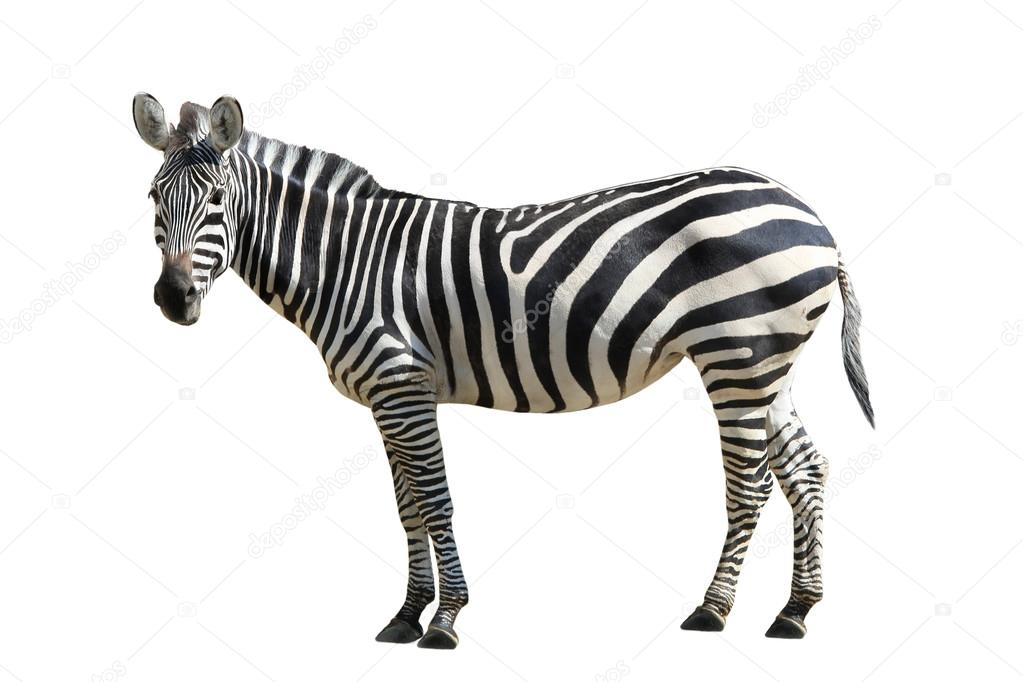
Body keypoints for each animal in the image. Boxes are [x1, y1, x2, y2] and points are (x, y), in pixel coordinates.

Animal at [133, 93, 873, 647]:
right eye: (151, 198)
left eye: (218, 200)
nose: (172, 299)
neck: (346, 260)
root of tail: (809, 212)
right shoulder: (389, 395)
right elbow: (406, 505)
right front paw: (406, 615)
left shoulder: (402, 383)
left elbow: (434, 498)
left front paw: (445, 619)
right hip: (769, 362)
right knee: (805, 468)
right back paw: (795, 611)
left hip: (735, 354)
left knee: (749, 485)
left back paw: (713, 610)